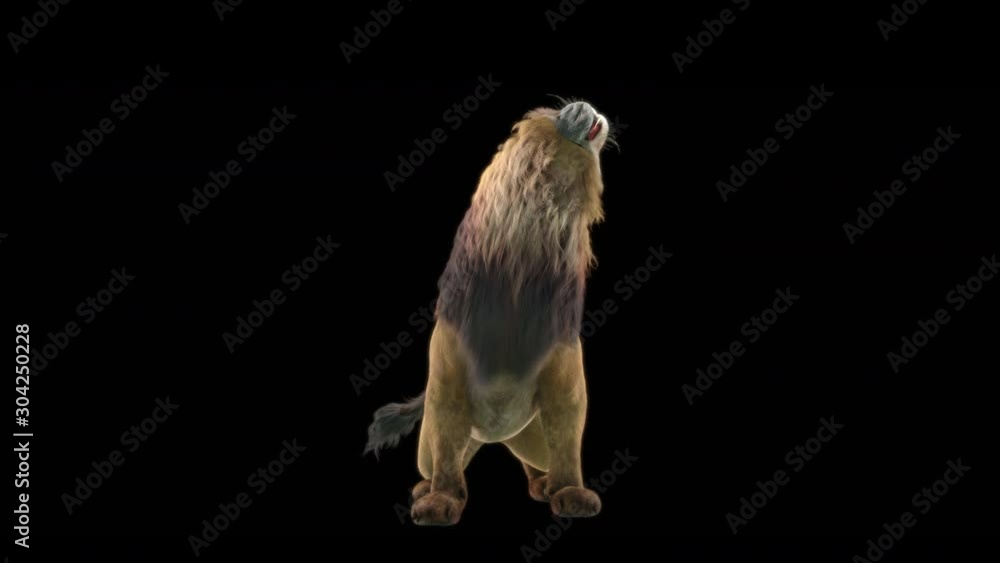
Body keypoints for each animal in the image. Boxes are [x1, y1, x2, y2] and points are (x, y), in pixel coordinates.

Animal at [365, 100, 612, 526]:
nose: (580, 105)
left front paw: (570, 493)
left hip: (529, 438)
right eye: (554, 117)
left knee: (537, 460)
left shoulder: (565, 378)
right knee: (439, 459)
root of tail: (498, 436)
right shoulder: (447, 380)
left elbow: (567, 442)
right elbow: (448, 450)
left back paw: (544, 485)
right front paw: (440, 502)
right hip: (430, 446)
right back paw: (424, 489)